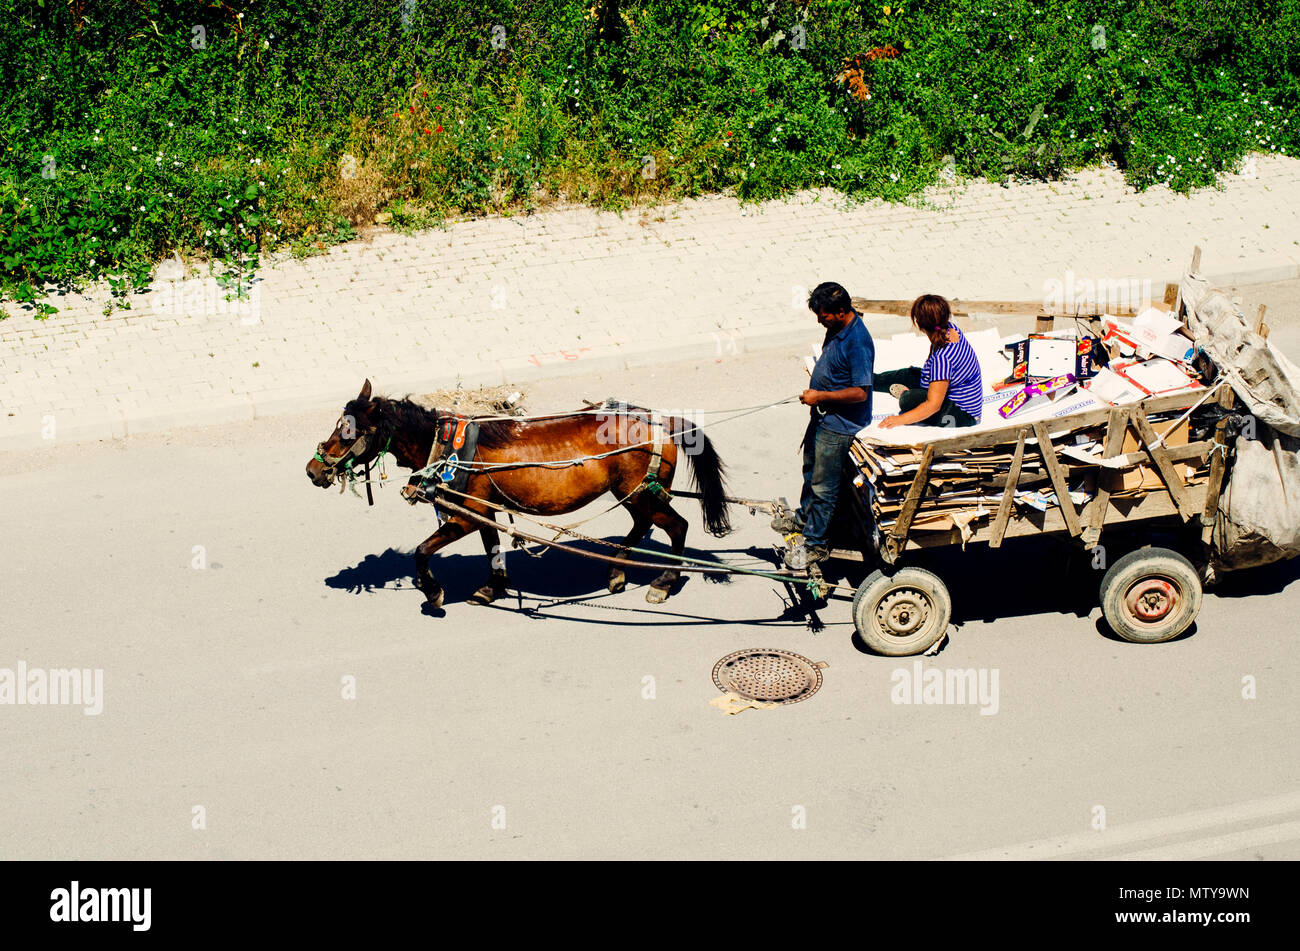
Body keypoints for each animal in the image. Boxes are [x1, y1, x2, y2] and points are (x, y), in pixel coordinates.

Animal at [306, 380, 732, 608]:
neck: (448, 446)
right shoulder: (483, 511)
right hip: (633, 491)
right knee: (645, 524)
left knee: (677, 527)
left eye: (348, 430)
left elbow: (423, 551)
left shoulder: (464, 515)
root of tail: (664, 419)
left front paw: (434, 592)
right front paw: (492, 587)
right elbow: (492, 546)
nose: (313, 470)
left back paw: (664, 582)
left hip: (640, 491)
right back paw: (616, 570)